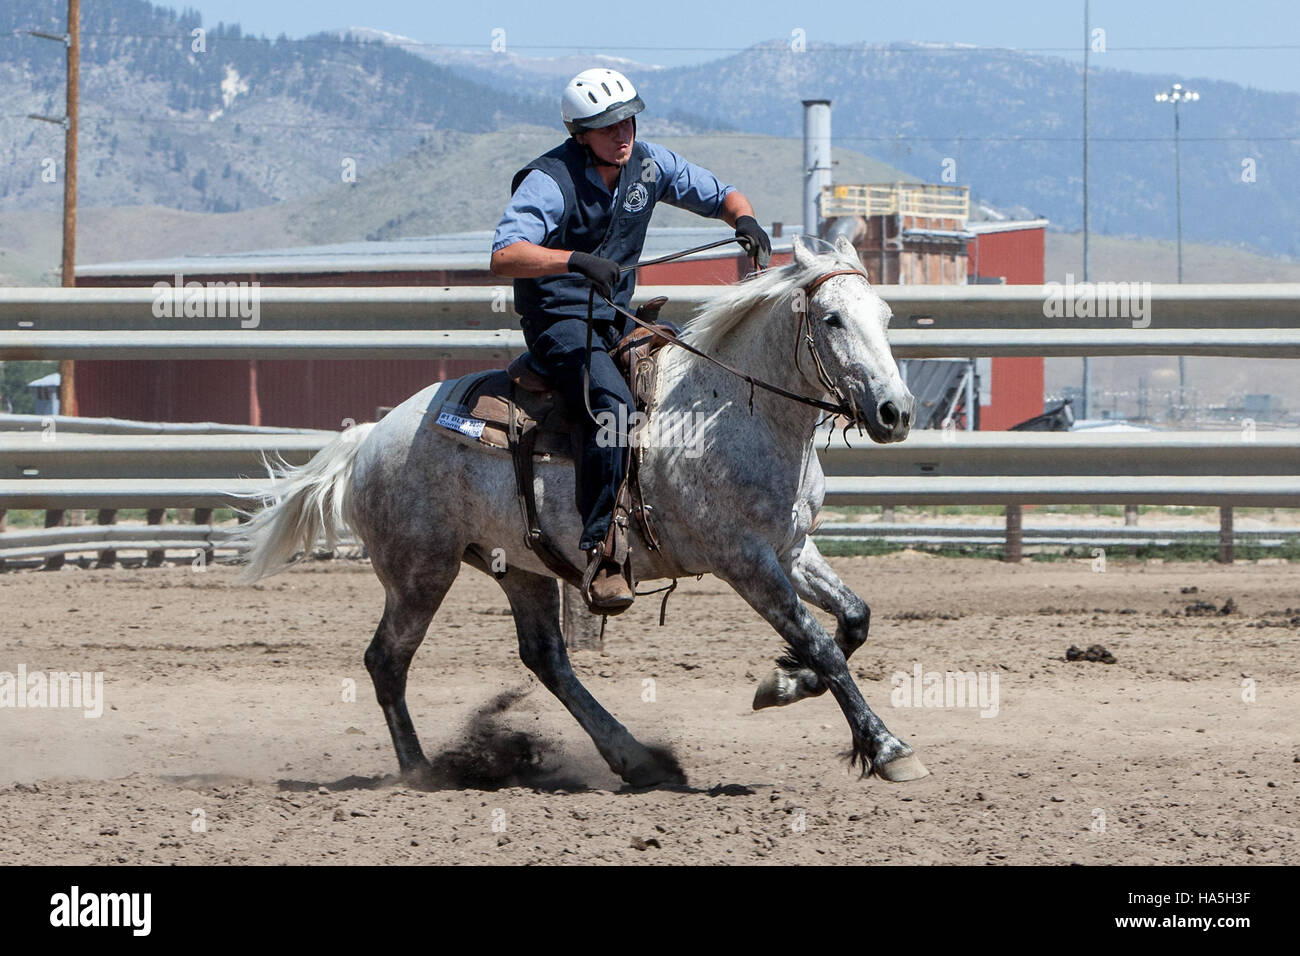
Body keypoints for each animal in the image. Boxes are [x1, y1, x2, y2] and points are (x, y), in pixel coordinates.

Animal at [232, 233, 928, 788]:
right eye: (832, 319)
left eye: (886, 314)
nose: (895, 412)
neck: (727, 408)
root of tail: (372, 436)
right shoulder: (746, 561)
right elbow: (820, 643)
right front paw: (888, 748)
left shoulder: (793, 548)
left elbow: (854, 621)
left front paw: (782, 685)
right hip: (420, 572)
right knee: (387, 660)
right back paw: (420, 771)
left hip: (521, 567)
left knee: (546, 658)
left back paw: (637, 759)